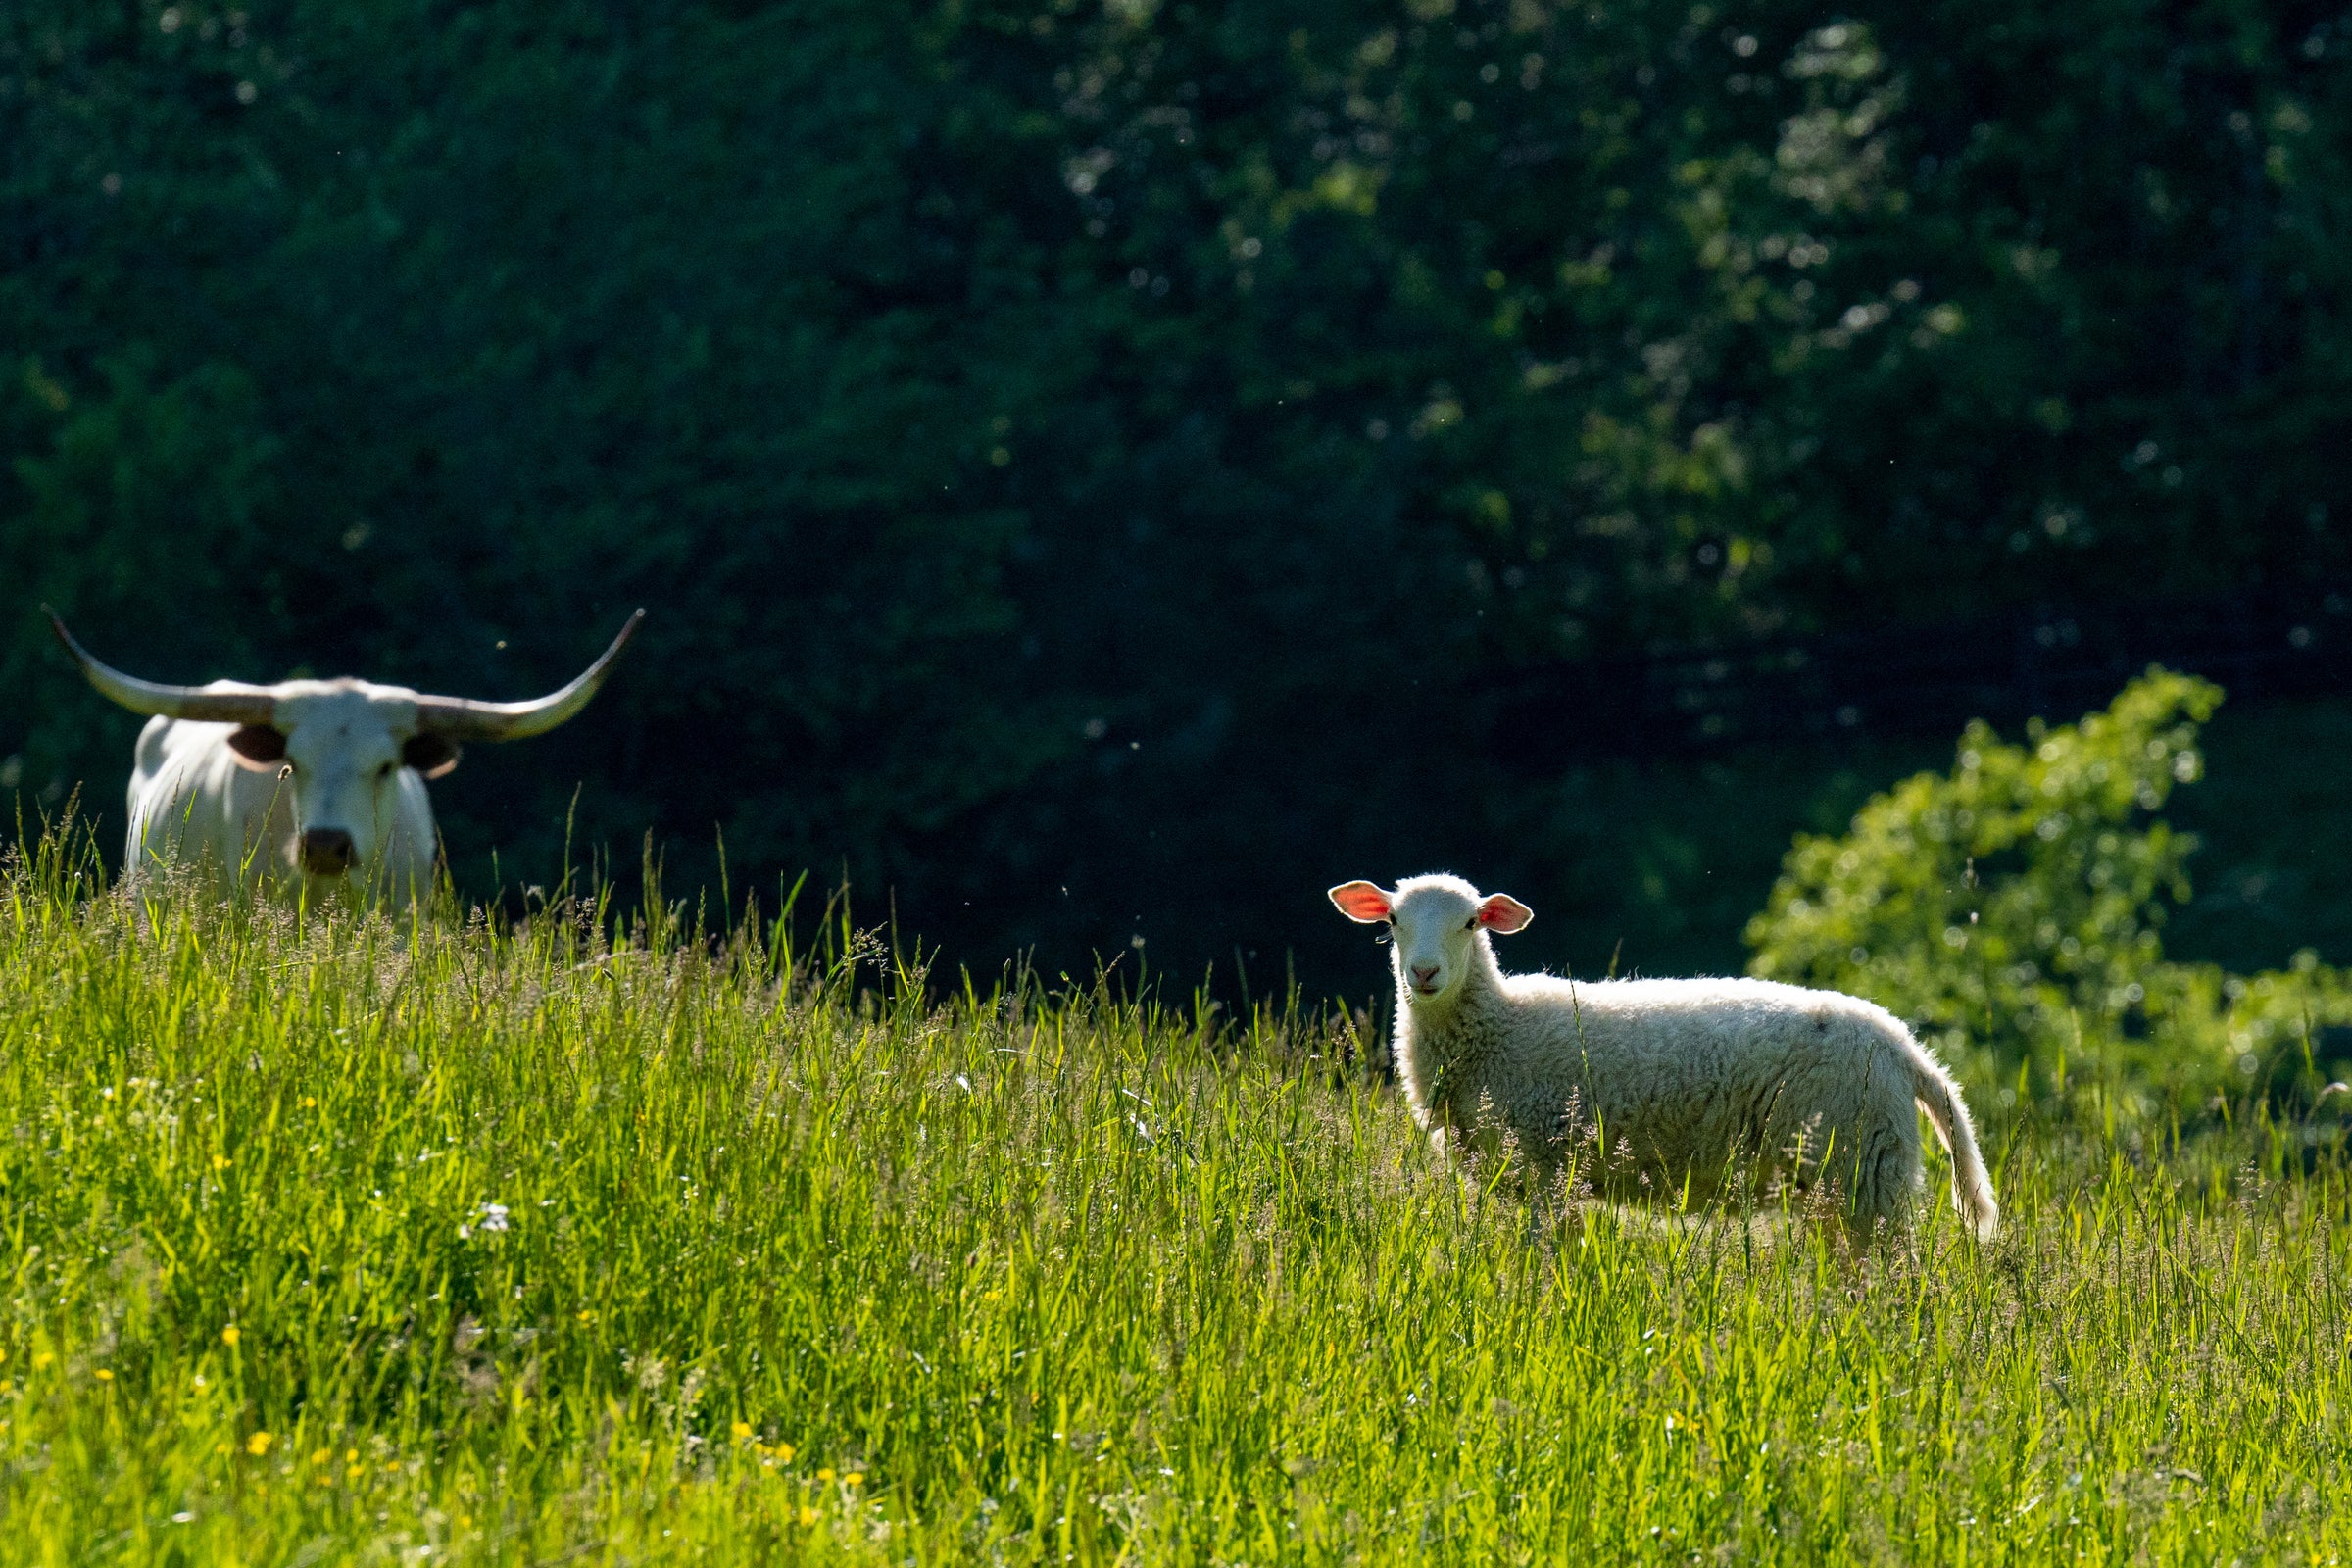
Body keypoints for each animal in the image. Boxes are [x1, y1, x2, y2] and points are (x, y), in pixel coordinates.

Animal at [1330, 873, 1999, 1239]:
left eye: (1471, 922)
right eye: (1393, 920)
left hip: (1858, 1167)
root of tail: (1906, 1048)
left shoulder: (1544, 1164)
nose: (1424, 974)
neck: (1499, 1027)